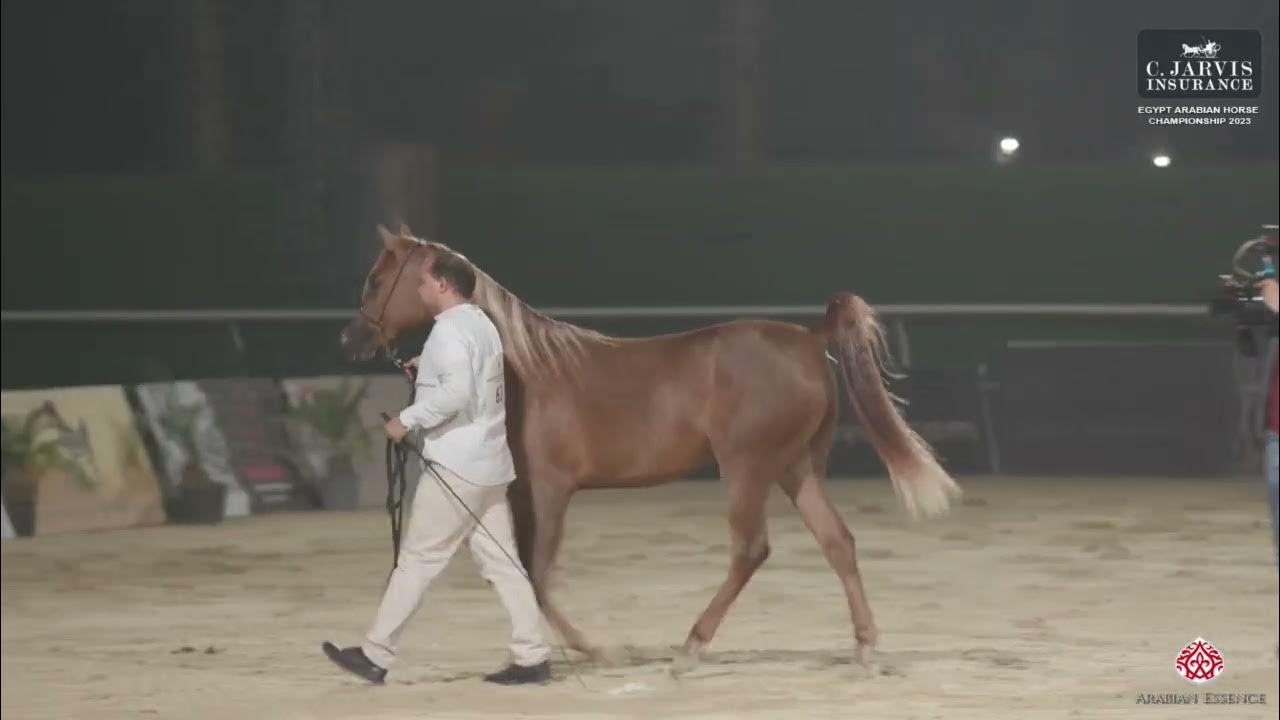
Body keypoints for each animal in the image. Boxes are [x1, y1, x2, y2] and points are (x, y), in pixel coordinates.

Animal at [340, 224, 960, 668]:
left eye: (375, 280)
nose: (352, 339)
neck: (525, 368)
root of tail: (810, 338)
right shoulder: (516, 492)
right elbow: (520, 571)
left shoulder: (551, 489)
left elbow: (536, 571)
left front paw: (590, 649)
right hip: (796, 468)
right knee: (838, 542)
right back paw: (864, 645)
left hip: (747, 468)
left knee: (751, 549)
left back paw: (691, 645)